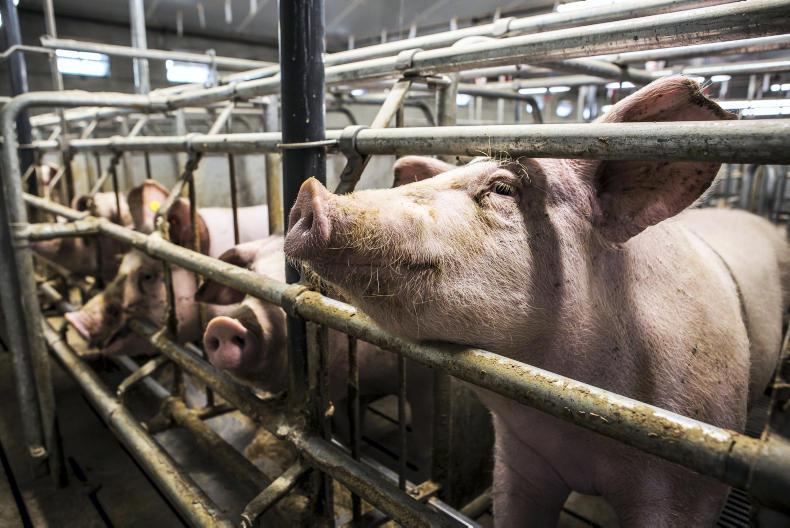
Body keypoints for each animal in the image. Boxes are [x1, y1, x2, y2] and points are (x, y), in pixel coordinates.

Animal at [197, 236, 434, 460]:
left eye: (324, 286)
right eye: (252, 272)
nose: (224, 325)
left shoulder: (424, 383)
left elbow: (425, 448)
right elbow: (348, 431)